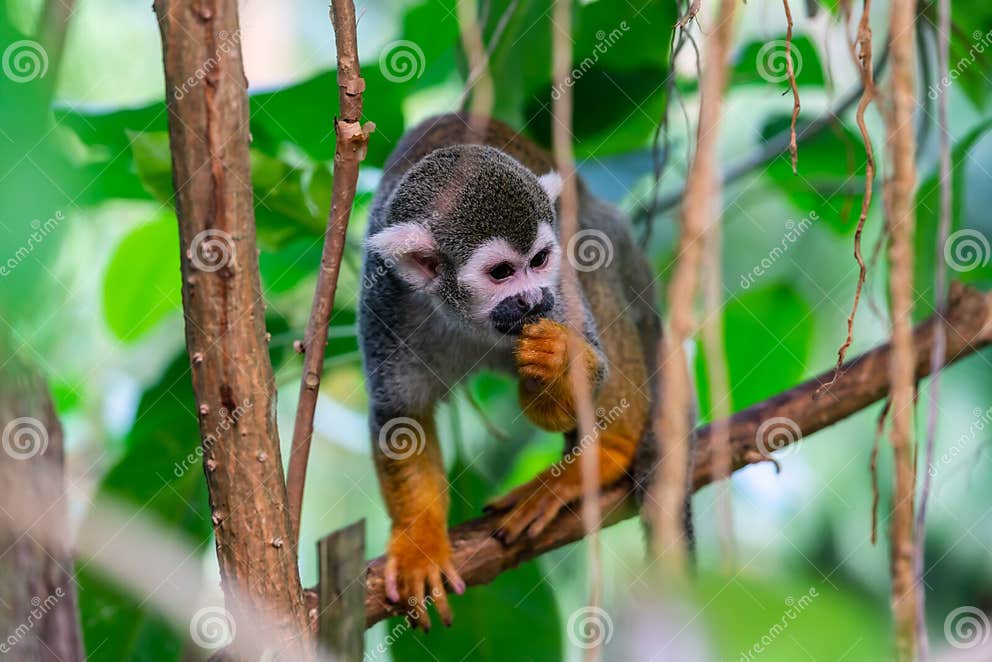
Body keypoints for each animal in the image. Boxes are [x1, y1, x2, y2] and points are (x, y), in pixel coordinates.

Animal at [359, 112, 667, 630]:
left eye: (538, 261)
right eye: (502, 272)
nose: (532, 299)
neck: (464, 316)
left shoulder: (558, 291)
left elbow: (592, 370)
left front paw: (558, 365)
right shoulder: (387, 299)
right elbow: (402, 415)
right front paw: (420, 543)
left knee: (595, 262)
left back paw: (608, 453)